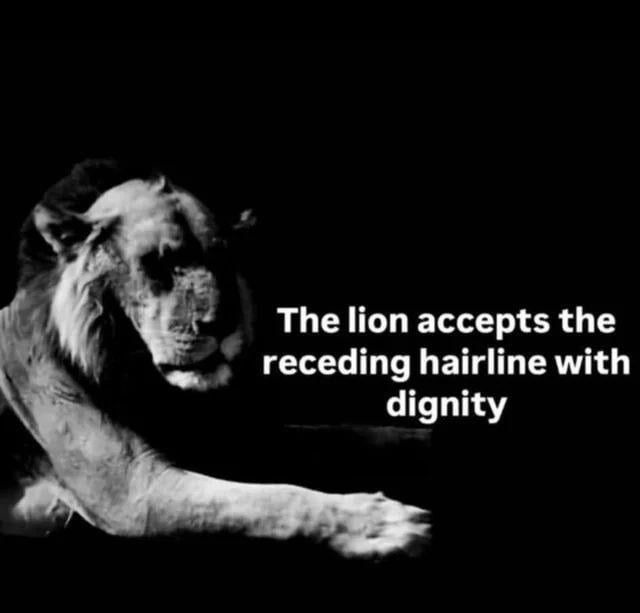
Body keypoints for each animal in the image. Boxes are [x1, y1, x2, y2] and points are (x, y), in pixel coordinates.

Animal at [0, 159, 430, 559]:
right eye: (158, 264)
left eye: (223, 260)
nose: (222, 325)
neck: (145, 380)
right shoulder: (132, 490)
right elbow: (270, 498)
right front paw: (381, 524)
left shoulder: (235, 432)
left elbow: (357, 434)